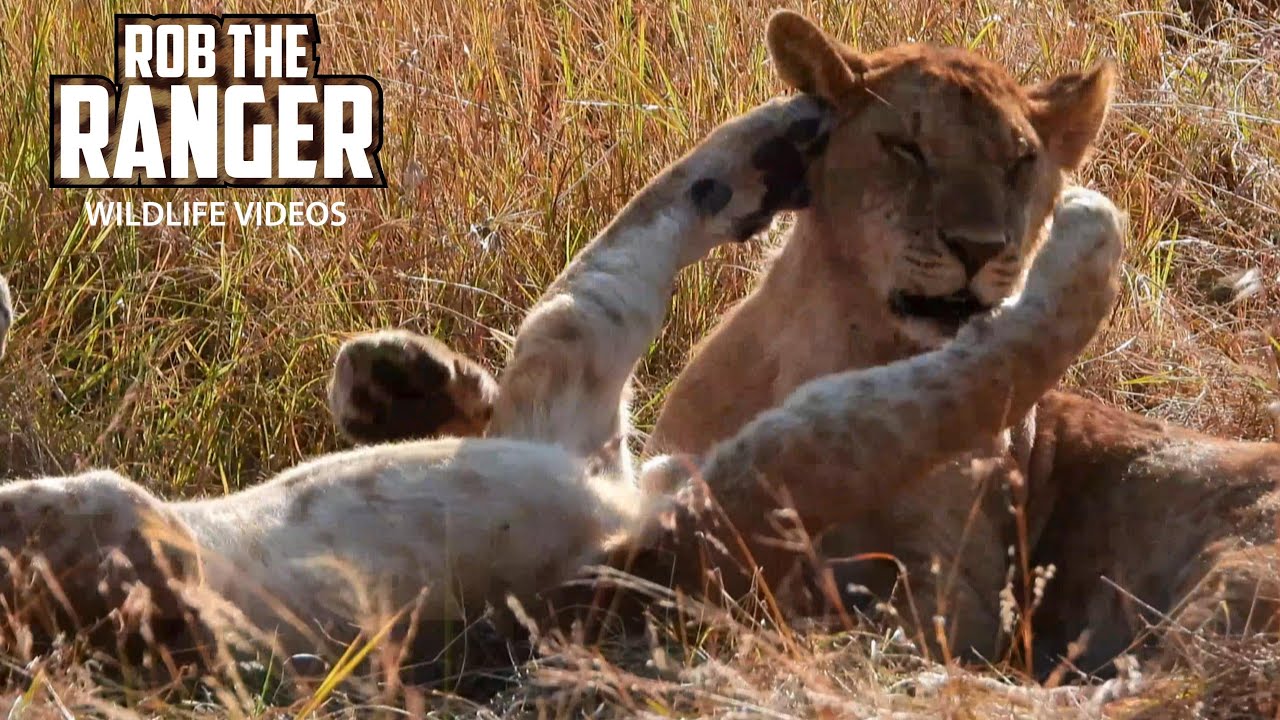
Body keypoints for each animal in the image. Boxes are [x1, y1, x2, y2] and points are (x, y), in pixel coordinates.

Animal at [327, 11, 1280, 681]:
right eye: (906, 147)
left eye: (1019, 162)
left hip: (1227, 572)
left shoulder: (957, 595)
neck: (835, 342)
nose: (982, 248)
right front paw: (399, 385)